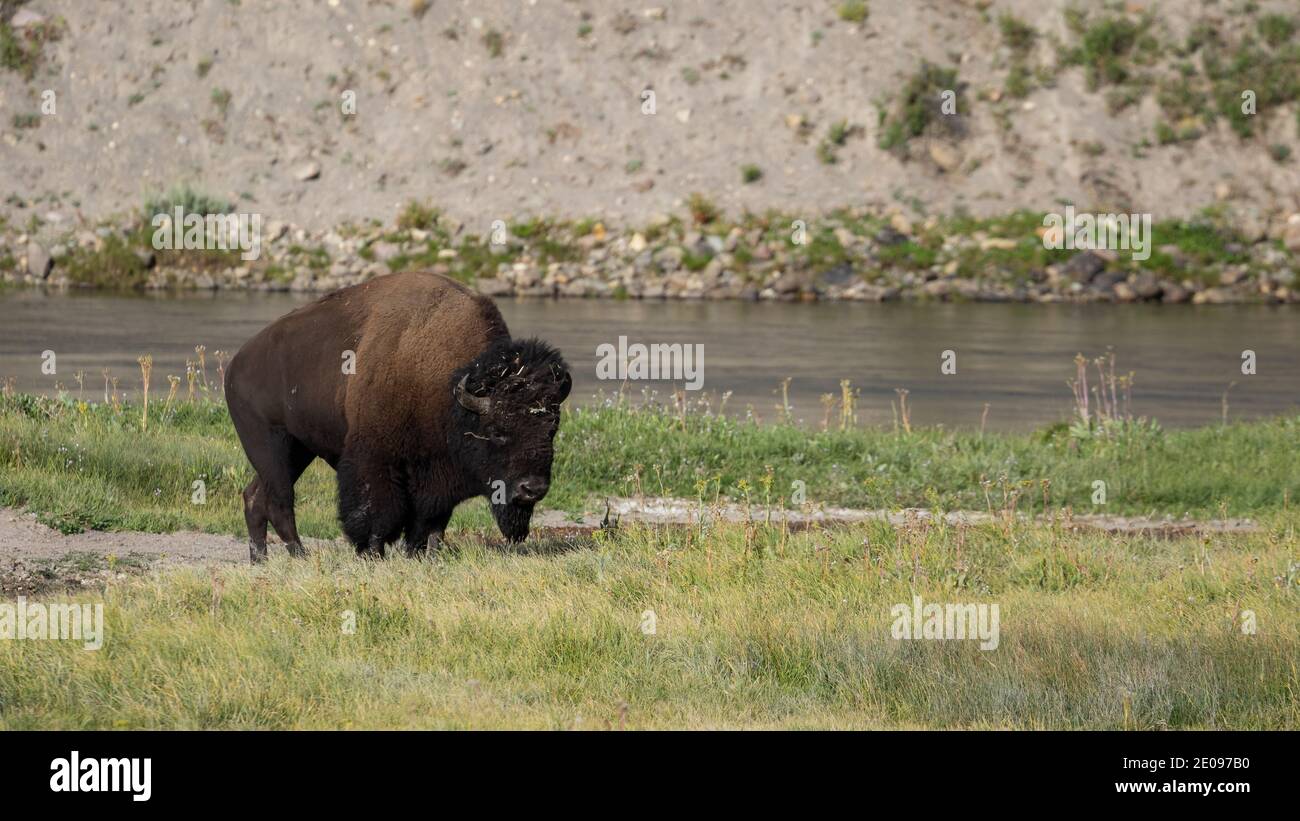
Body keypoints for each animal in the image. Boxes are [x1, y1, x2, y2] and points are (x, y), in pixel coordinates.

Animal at [224, 271, 571, 562]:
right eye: (498, 430)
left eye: (551, 429)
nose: (533, 489)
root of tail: (236, 363)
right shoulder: (375, 459)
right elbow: (379, 512)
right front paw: (372, 554)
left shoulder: (440, 475)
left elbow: (432, 521)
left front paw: (425, 555)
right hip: (270, 443)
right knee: (280, 500)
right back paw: (299, 557)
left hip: (299, 450)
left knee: (255, 496)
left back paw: (261, 560)